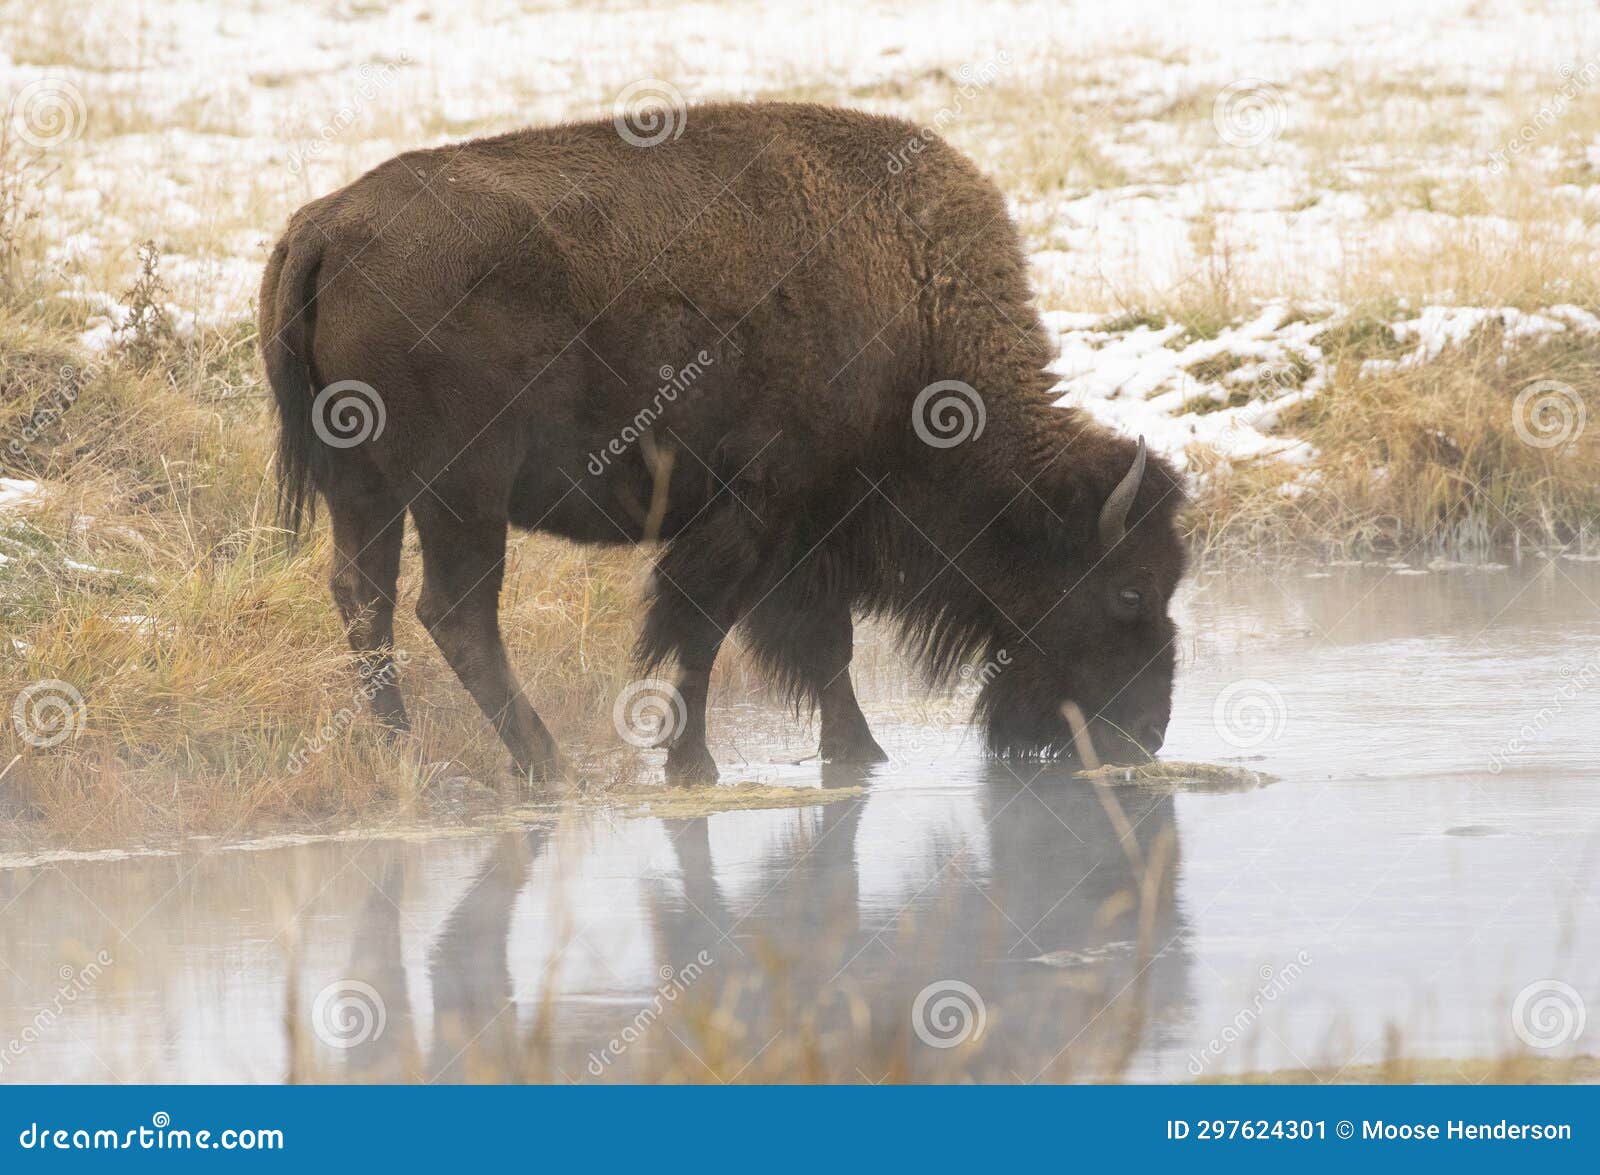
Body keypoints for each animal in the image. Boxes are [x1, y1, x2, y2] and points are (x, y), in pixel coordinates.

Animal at [260, 101, 1187, 784]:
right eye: (1131, 590)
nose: (1146, 733)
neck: (915, 310)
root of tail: (325, 228)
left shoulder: (809, 536)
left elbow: (820, 646)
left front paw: (859, 752)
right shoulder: (759, 517)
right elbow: (705, 632)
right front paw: (695, 764)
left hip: (368, 489)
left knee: (367, 596)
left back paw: (402, 750)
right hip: (461, 494)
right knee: (455, 613)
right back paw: (546, 765)